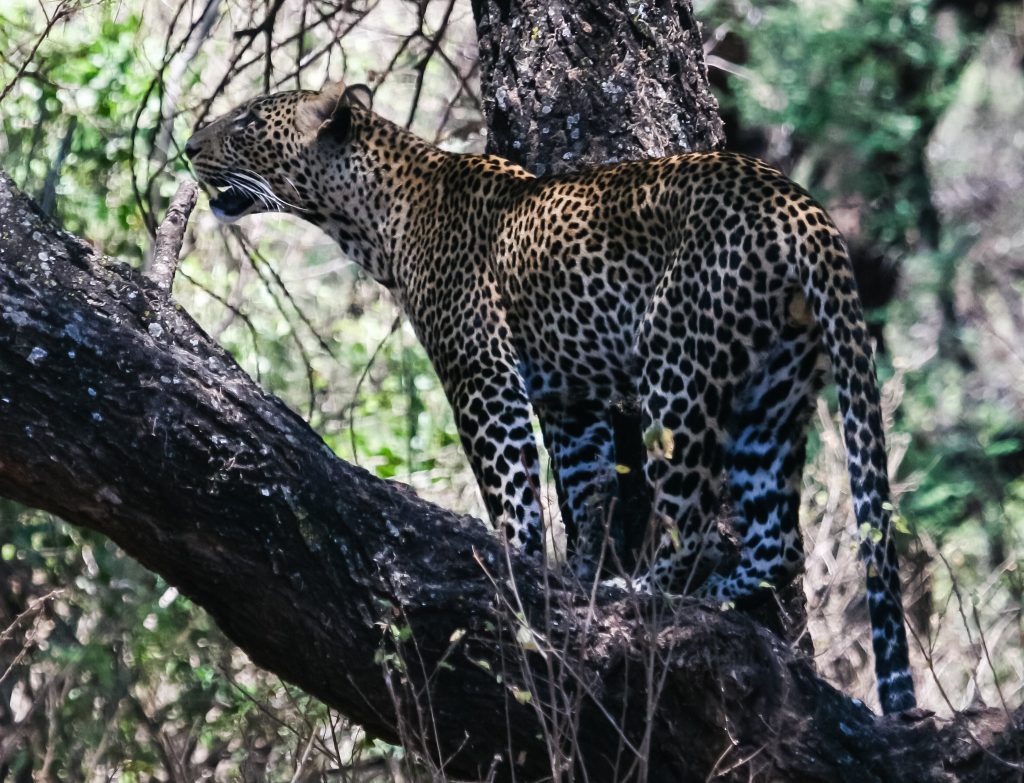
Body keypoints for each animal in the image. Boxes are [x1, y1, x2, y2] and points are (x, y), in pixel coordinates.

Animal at [185, 81, 916, 713]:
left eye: (246, 122)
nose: (189, 146)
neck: (374, 216)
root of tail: (803, 208)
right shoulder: (571, 400)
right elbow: (586, 489)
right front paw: (574, 582)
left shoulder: (483, 377)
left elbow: (512, 490)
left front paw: (518, 573)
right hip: (774, 391)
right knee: (774, 541)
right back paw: (705, 600)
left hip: (678, 376)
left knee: (697, 521)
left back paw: (651, 595)